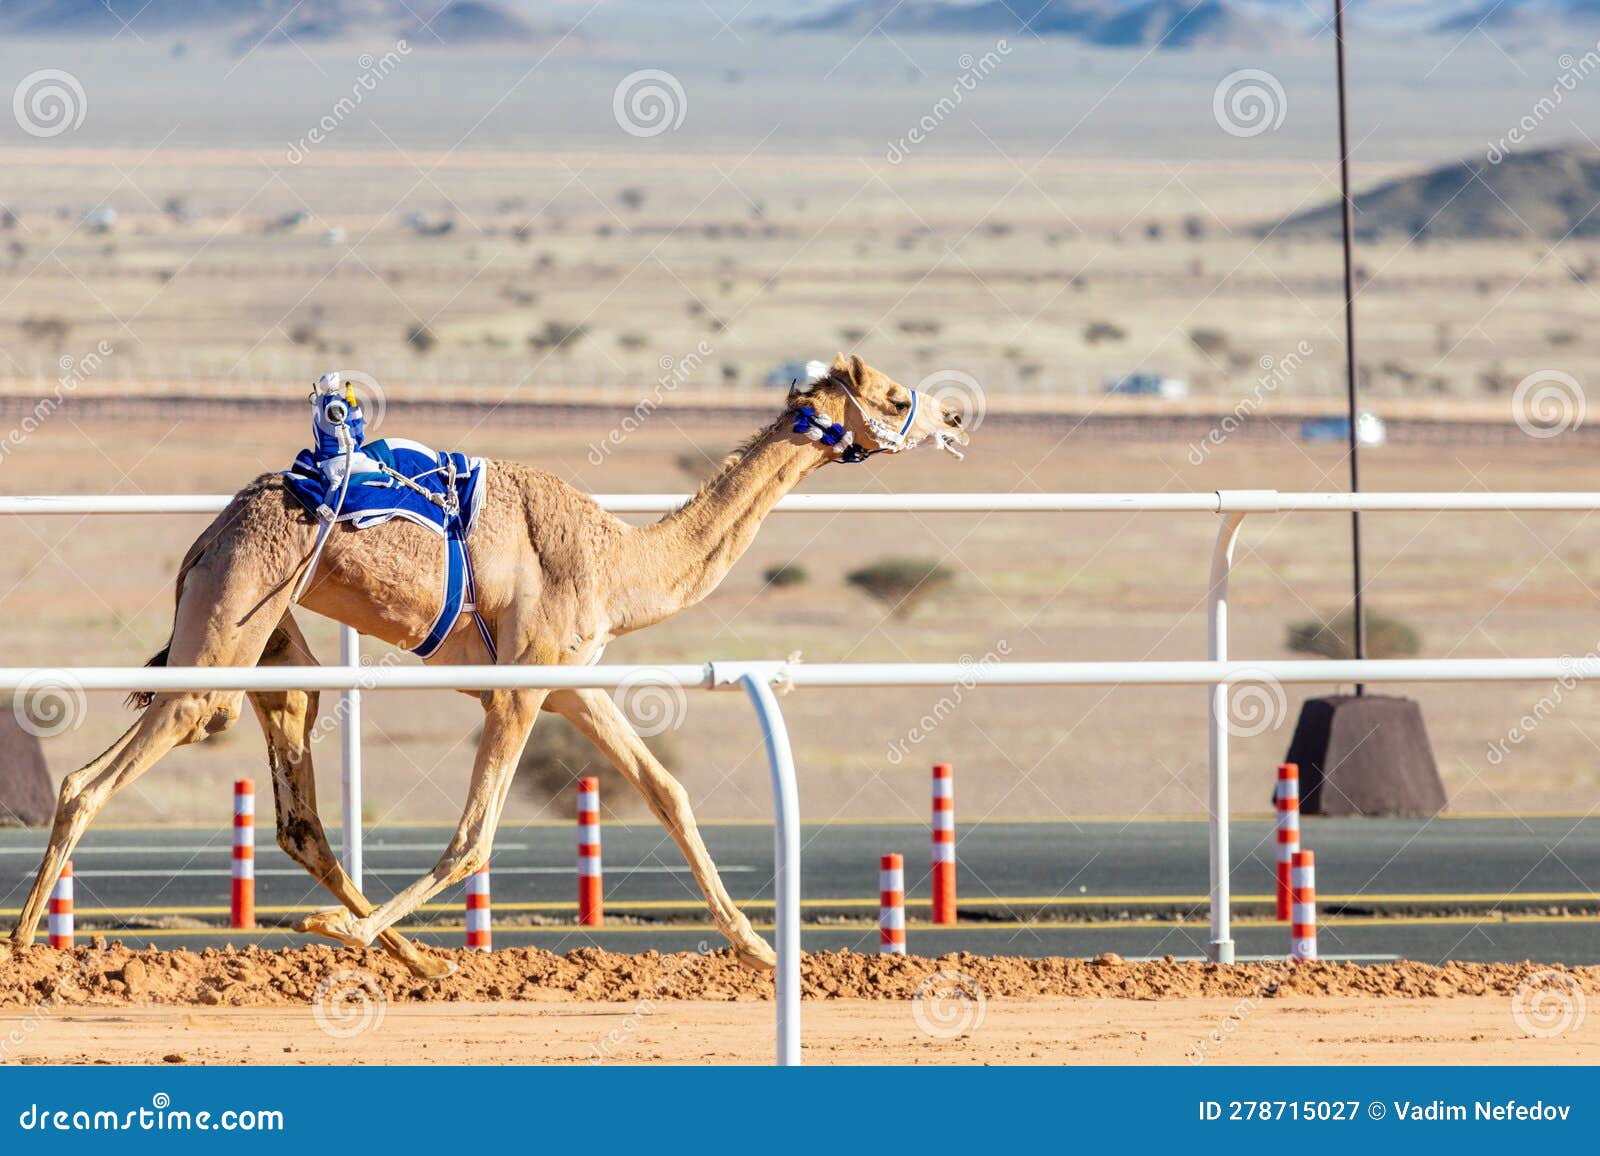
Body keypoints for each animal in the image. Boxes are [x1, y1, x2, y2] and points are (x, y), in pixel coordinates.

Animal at [3, 355, 968, 979]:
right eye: (891, 393)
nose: (954, 415)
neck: (620, 563)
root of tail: (204, 538)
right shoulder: (519, 687)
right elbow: (473, 840)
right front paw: (341, 932)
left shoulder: (570, 682)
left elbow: (666, 790)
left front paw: (761, 948)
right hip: (230, 619)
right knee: (100, 774)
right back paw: (27, 948)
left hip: (268, 635)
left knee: (296, 797)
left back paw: (410, 954)